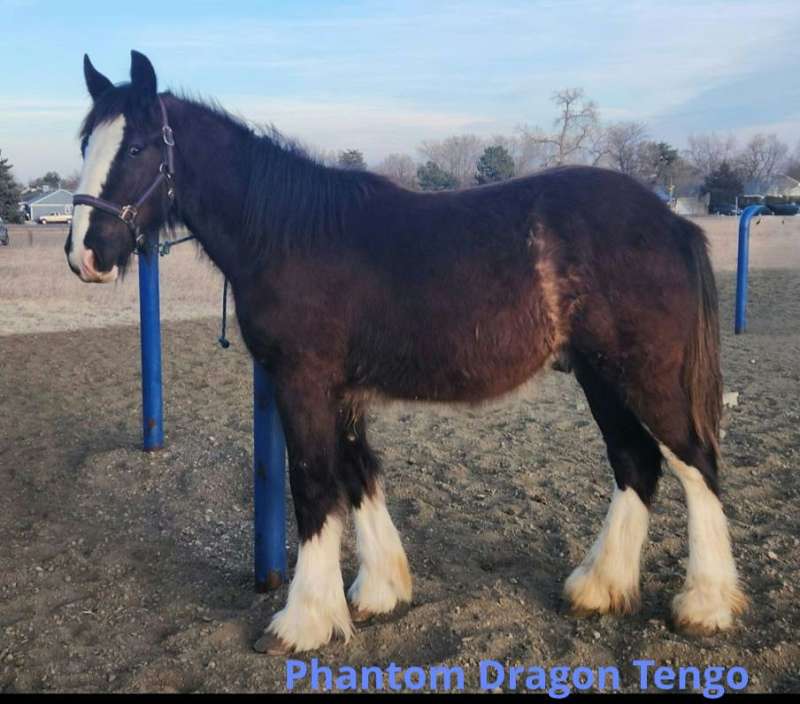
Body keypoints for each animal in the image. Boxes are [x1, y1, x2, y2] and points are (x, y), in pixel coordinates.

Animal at [65, 50, 746, 655]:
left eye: (136, 148)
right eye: (84, 145)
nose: (85, 254)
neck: (288, 231)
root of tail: (671, 222)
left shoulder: (303, 382)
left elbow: (314, 483)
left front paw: (302, 621)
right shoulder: (342, 390)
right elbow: (358, 473)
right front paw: (377, 592)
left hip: (645, 377)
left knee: (695, 463)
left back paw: (705, 605)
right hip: (600, 376)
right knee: (636, 462)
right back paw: (600, 587)